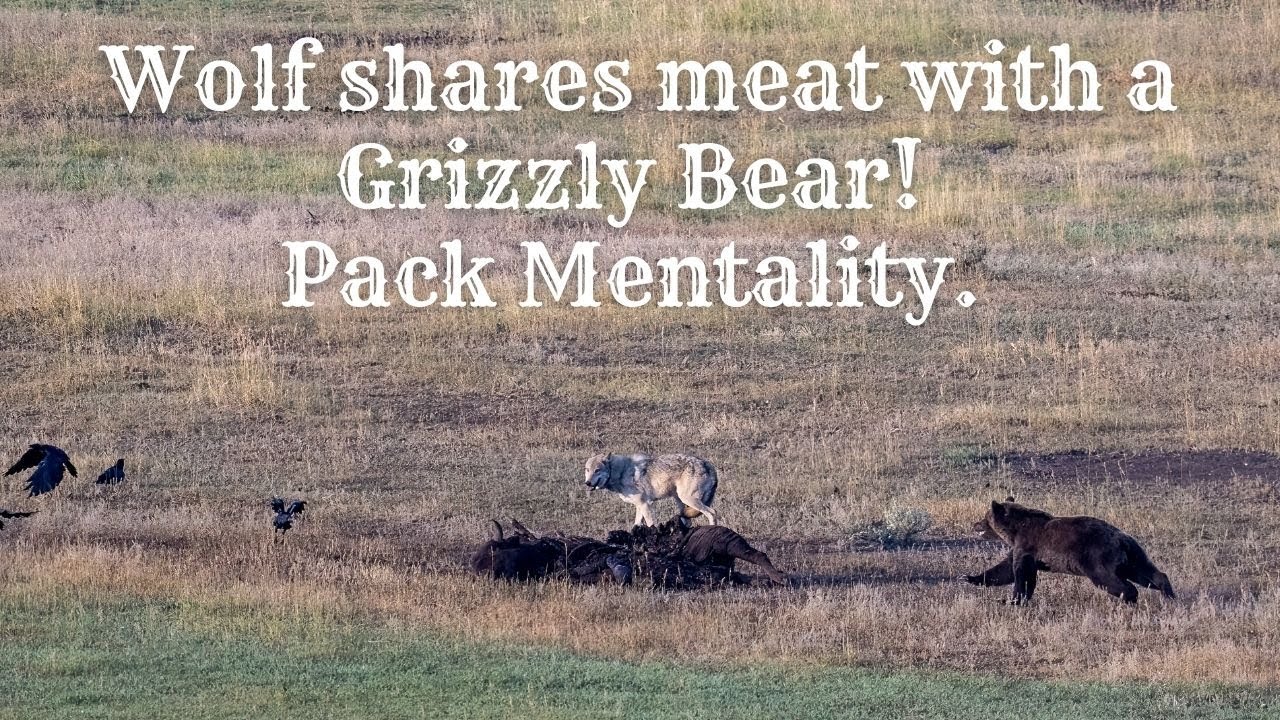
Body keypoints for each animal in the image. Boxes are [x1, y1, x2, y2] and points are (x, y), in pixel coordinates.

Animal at [583, 453, 718, 527]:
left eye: (597, 470)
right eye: (587, 470)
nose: (587, 483)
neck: (621, 472)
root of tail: (708, 464)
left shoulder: (645, 504)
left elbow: (650, 524)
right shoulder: (639, 506)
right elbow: (636, 525)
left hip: (687, 499)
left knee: (712, 513)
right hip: (681, 502)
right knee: (689, 521)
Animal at [964, 499, 1175, 605]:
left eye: (984, 517)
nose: (975, 524)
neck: (1014, 531)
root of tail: (1121, 539)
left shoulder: (1026, 546)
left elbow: (1019, 574)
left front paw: (1012, 600)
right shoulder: (1024, 551)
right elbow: (1006, 570)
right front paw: (971, 577)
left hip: (1097, 558)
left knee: (1110, 580)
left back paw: (1130, 597)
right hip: (1133, 555)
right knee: (1148, 573)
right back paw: (1169, 595)